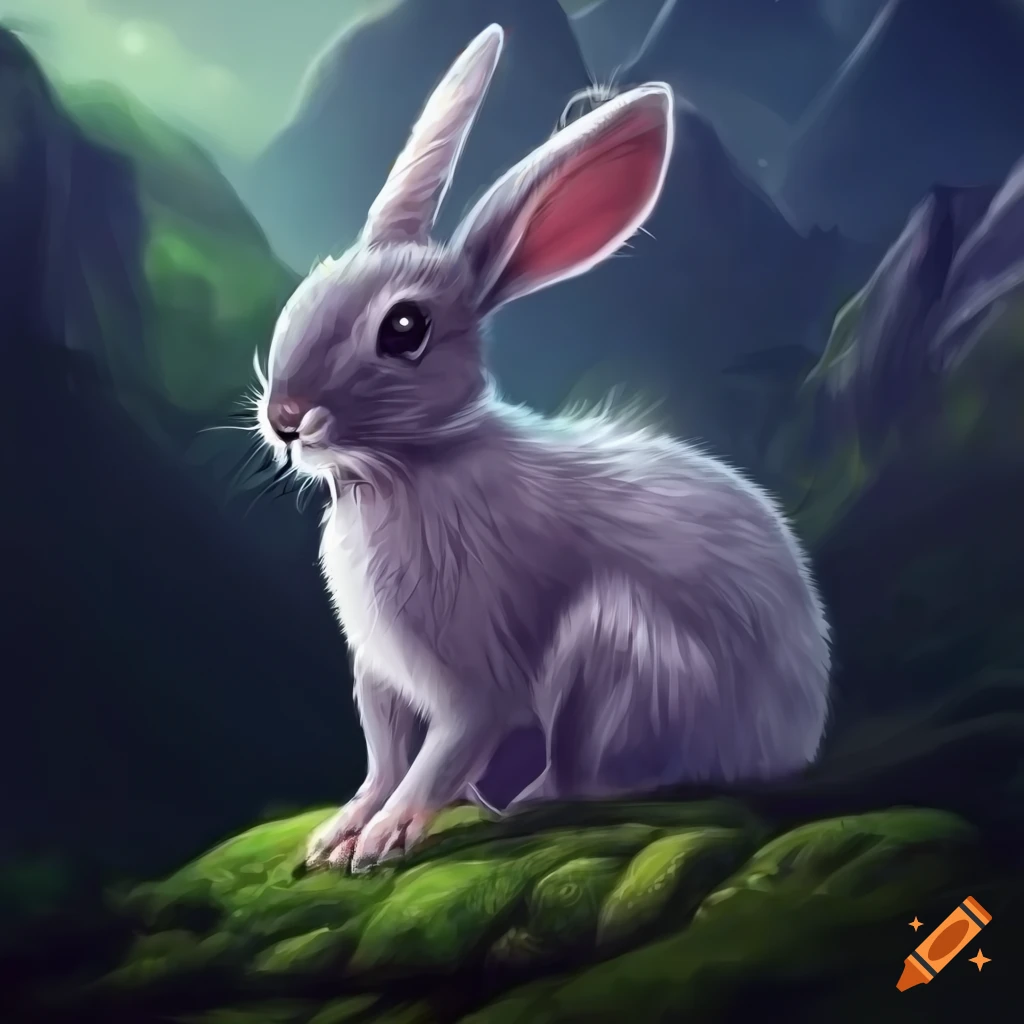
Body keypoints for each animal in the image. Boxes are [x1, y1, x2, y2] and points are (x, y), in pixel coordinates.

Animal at [255, 24, 831, 873]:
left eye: (404, 329)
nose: (287, 419)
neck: (411, 467)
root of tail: (795, 736)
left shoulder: (476, 676)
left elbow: (438, 755)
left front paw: (385, 838)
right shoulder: (380, 677)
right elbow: (383, 756)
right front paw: (339, 834)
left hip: (617, 656)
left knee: (580, 779)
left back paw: (517, 802)